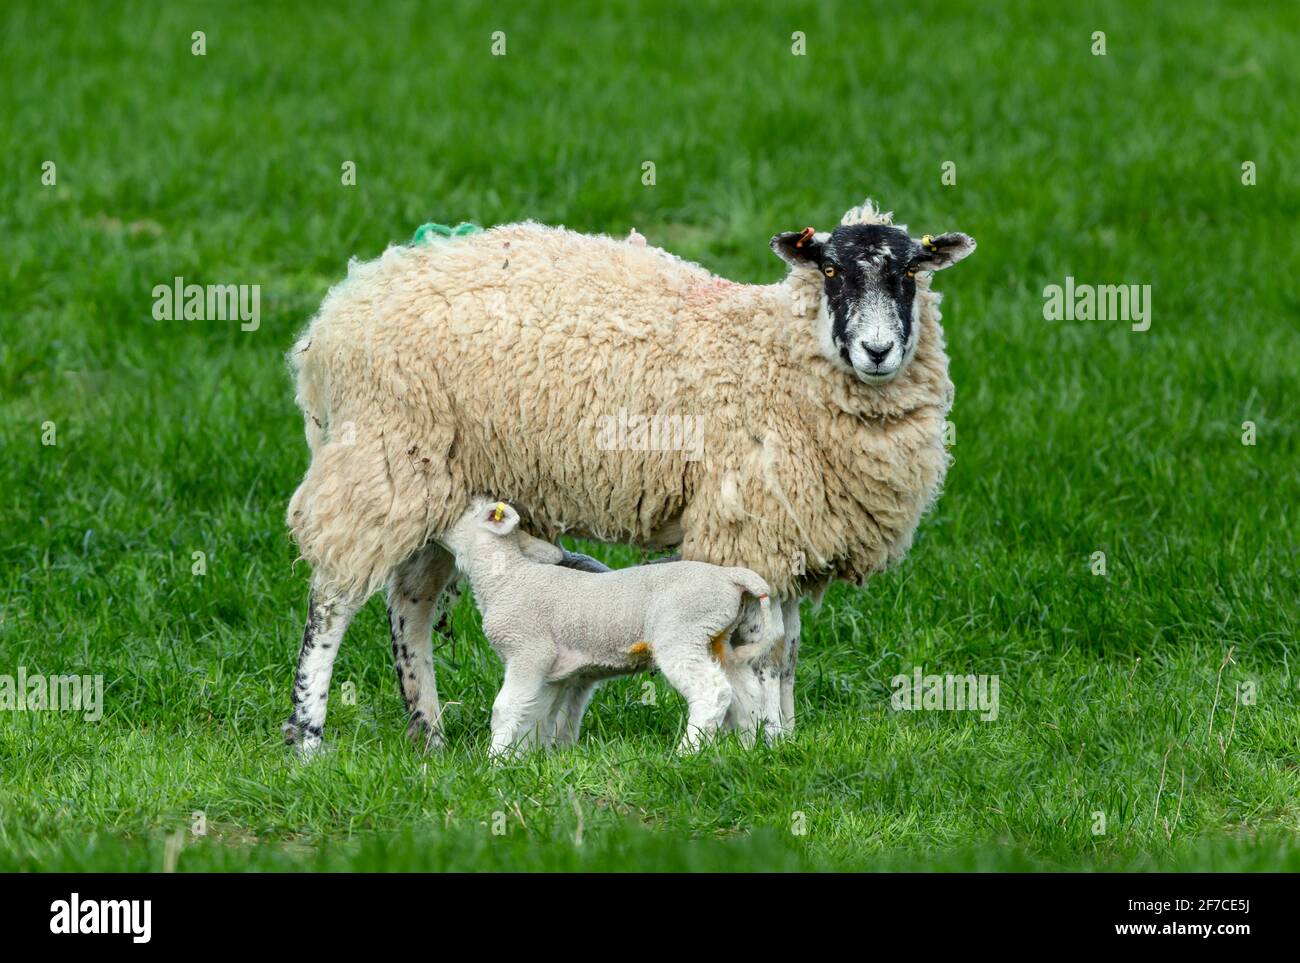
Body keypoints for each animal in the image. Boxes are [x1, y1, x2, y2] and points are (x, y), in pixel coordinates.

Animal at [439, 498, 781, 756]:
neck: (505, 578)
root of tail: (731, 577)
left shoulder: (530, 651)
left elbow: (505, 709)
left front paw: (495, 762)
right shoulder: (553, 673)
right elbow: (536, 715)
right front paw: (529, 759)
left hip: (682, 632)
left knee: (712, 691)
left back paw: (687, 752)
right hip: (718, 640)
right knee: (746, 693)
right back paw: (748, 748)